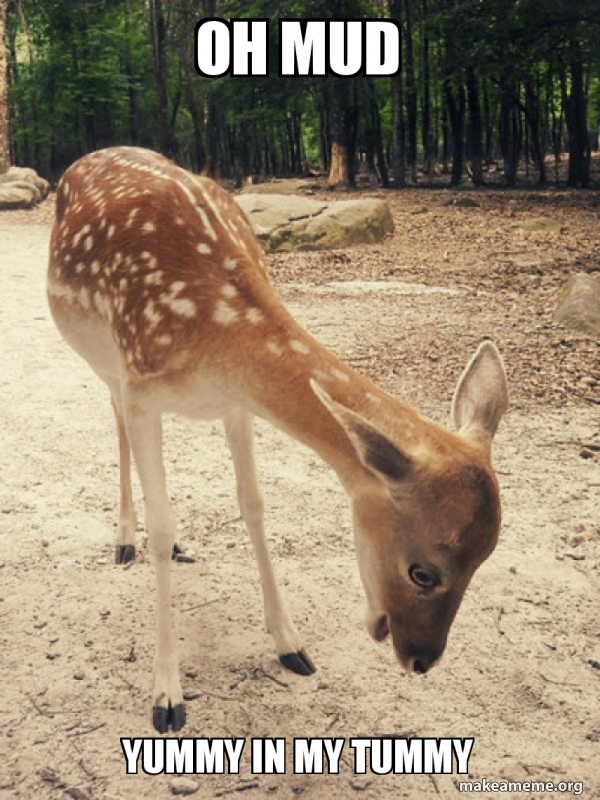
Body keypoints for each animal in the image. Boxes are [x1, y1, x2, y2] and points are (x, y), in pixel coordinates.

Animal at [47, 146, 508, 734]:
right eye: (422, 571)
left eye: (485, 559)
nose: (421, 659)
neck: (213, 333)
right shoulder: (140, 388)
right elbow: (163, 518)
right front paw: (167, 695)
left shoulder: (237, 404)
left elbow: (254, 504)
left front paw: (291, 645)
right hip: (104, 362)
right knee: (116, 425)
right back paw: (125, 539)